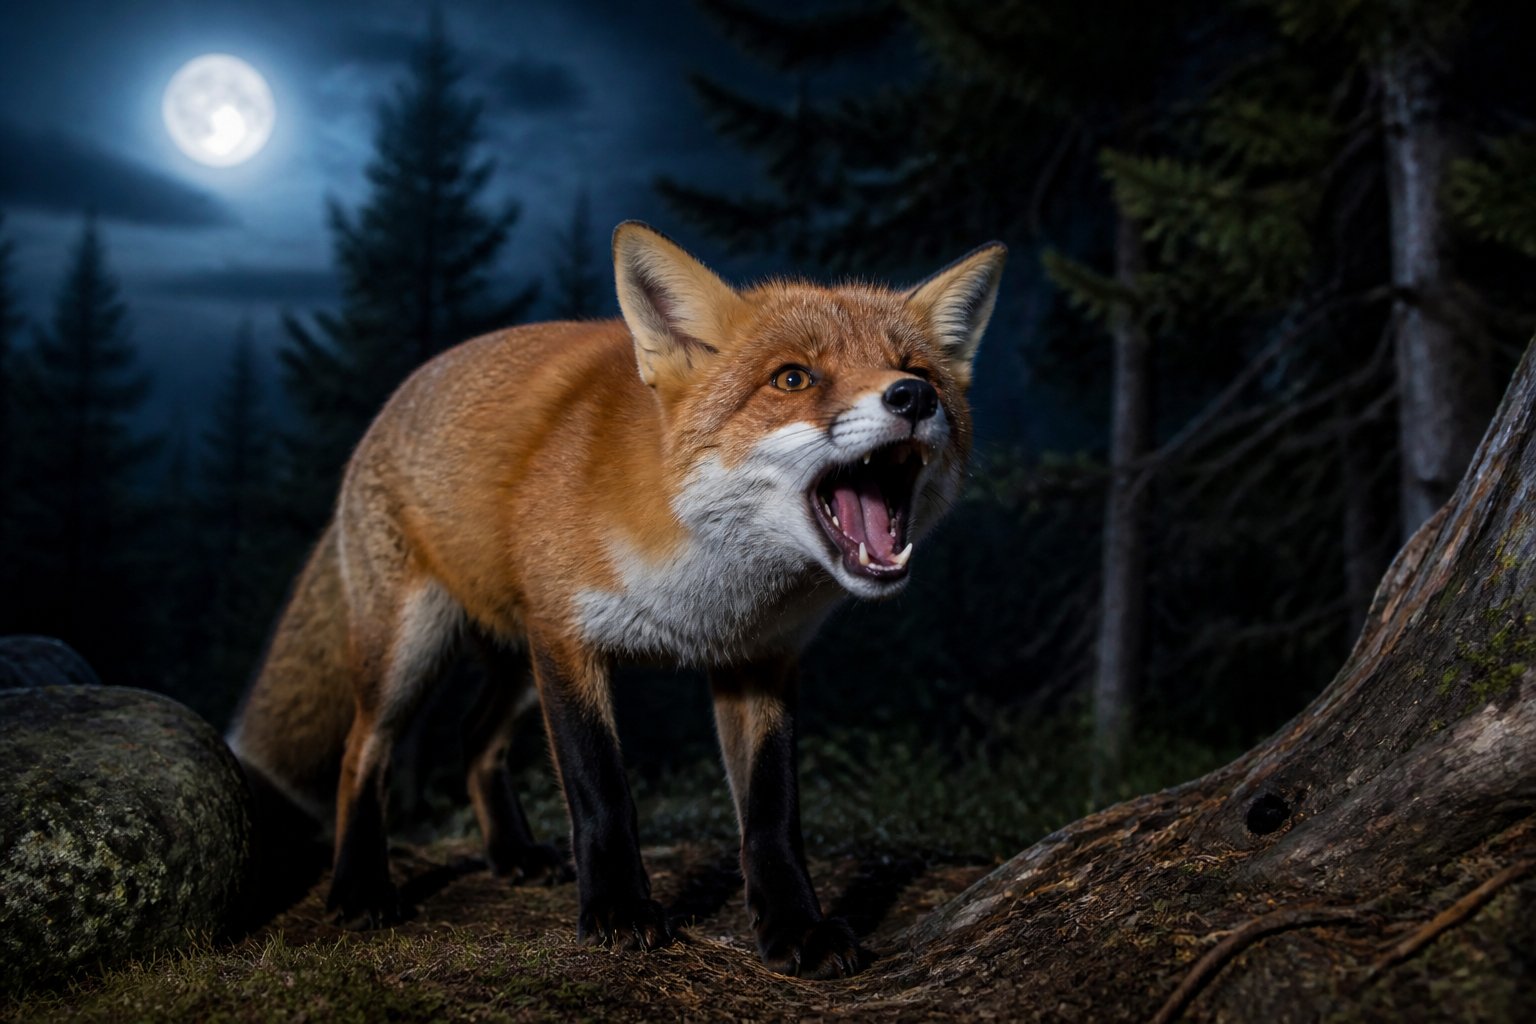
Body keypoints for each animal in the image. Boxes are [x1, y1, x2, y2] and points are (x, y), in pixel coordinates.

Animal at [227, 222, 1005, 978]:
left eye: (919, 371)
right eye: (793, 377)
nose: (912, 399)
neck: (708, 586)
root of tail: (390, 405)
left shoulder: (760, 660)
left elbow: (773, 814)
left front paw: (795, 927)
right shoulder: (569, 642)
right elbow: (600, 791)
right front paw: (618, 913)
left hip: (519, 665)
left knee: (474, 736)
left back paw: (511, 853)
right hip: (415, 650)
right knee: (365, 750)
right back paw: (359, 886)